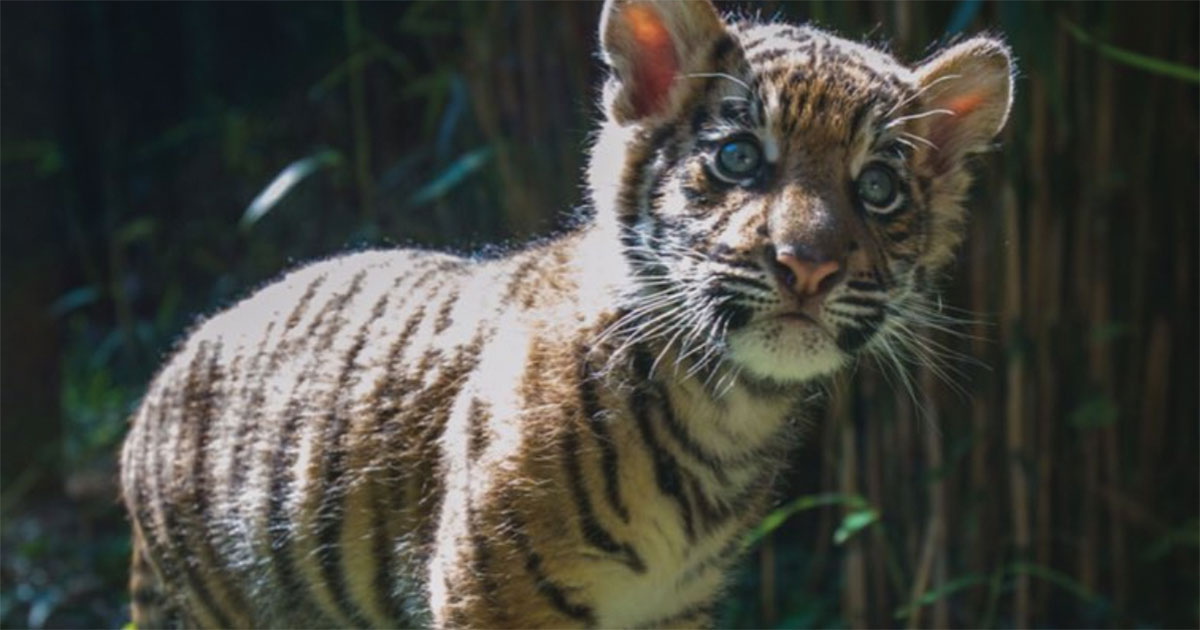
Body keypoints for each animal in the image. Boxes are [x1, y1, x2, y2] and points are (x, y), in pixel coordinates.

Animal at [119, 0, 1014, 627]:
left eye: (878, 187)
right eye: (738, 158)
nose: (810, 266)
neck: (726, 413)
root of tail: (174, 363)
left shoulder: (673, 609)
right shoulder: (490, 595)